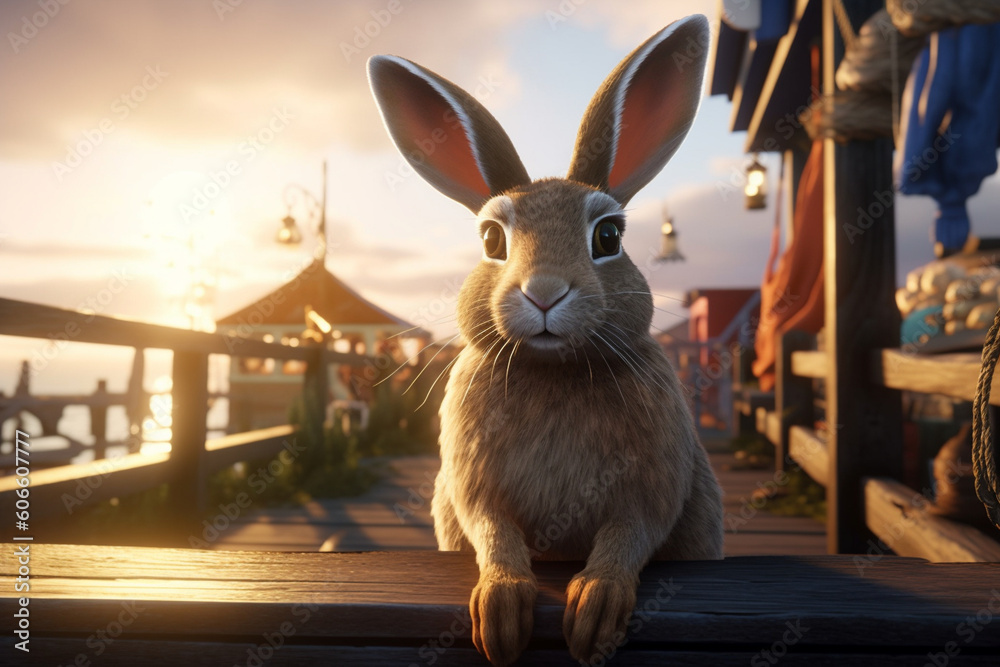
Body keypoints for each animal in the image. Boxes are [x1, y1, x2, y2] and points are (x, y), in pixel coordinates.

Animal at [368, 13, 723, 666]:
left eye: (608, 236)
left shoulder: (649, 487)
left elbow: (629, 536)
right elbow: (493, 532)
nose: (544, 293)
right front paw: (502, 611)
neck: (554, 368)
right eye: (491, 239)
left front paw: (594, 611)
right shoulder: (475, 486)